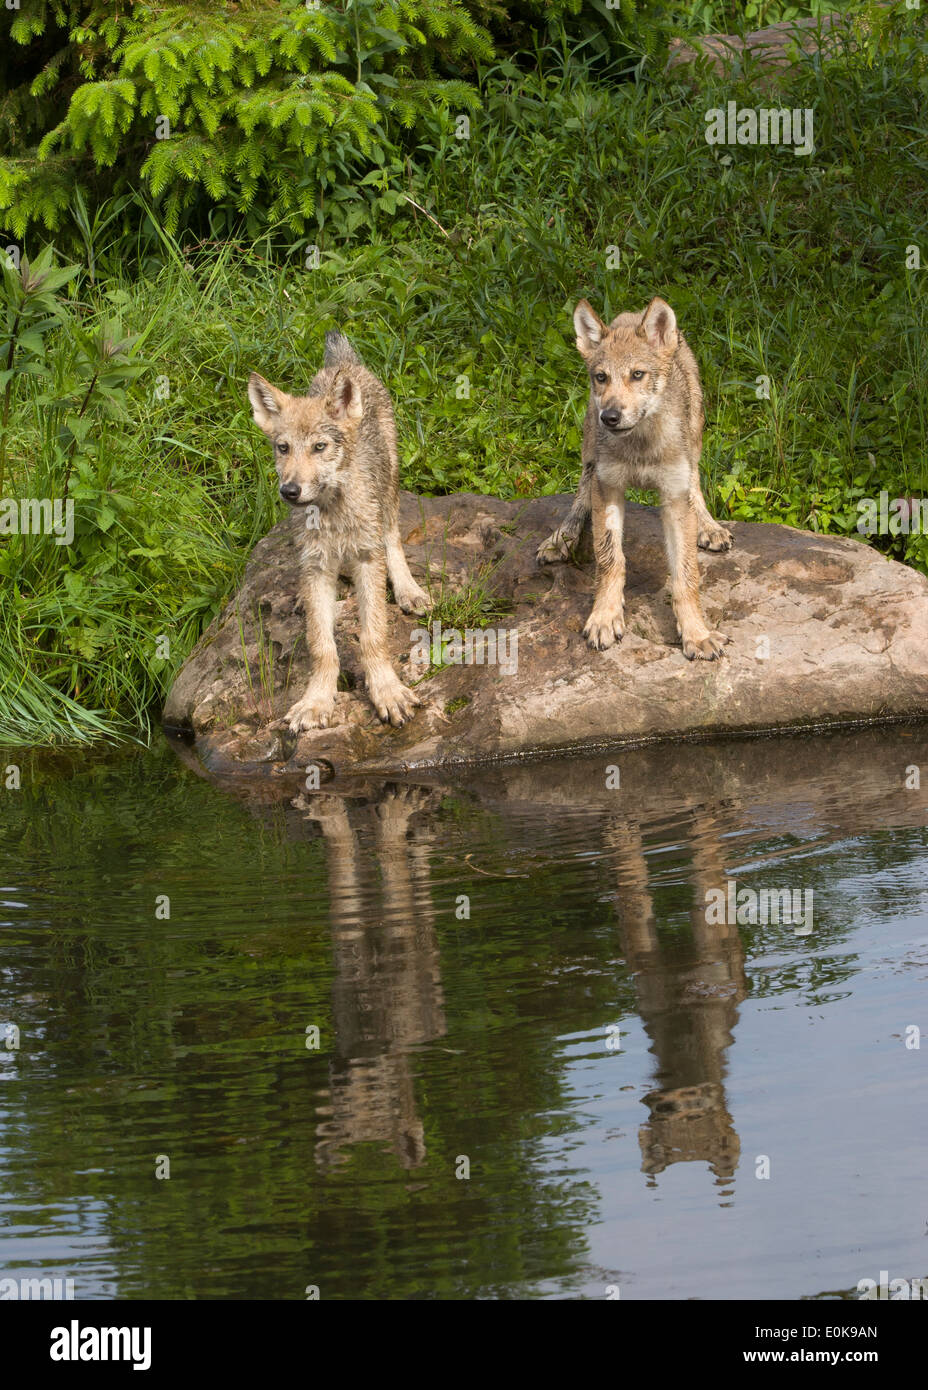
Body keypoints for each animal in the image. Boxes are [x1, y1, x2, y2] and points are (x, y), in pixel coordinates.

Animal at [247, 333, 429, 731]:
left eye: (320, 446)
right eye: (283, 448)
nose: (290, 491)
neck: (332, 514)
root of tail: (343, 363)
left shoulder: (366, 558)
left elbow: (373, 635)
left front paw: (386, 691)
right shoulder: (315, 565)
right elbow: (322, 645)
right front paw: (316, 701)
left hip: (388, 491)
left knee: (393, 539)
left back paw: (409, 590)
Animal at [536, 297, 732, 660]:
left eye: (637, 375)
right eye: (601, 377)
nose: (611, 416)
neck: (640, 446)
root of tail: (632, 312)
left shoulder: (673, 497)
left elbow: (685, 576)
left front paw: (696, 634)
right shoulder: (608, 488)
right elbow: (610, 560)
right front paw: (604, 617)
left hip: (695, 436)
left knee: (696, 483)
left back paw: (709, 527)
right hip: (589, 448)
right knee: (580, 493)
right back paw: (561, 538)